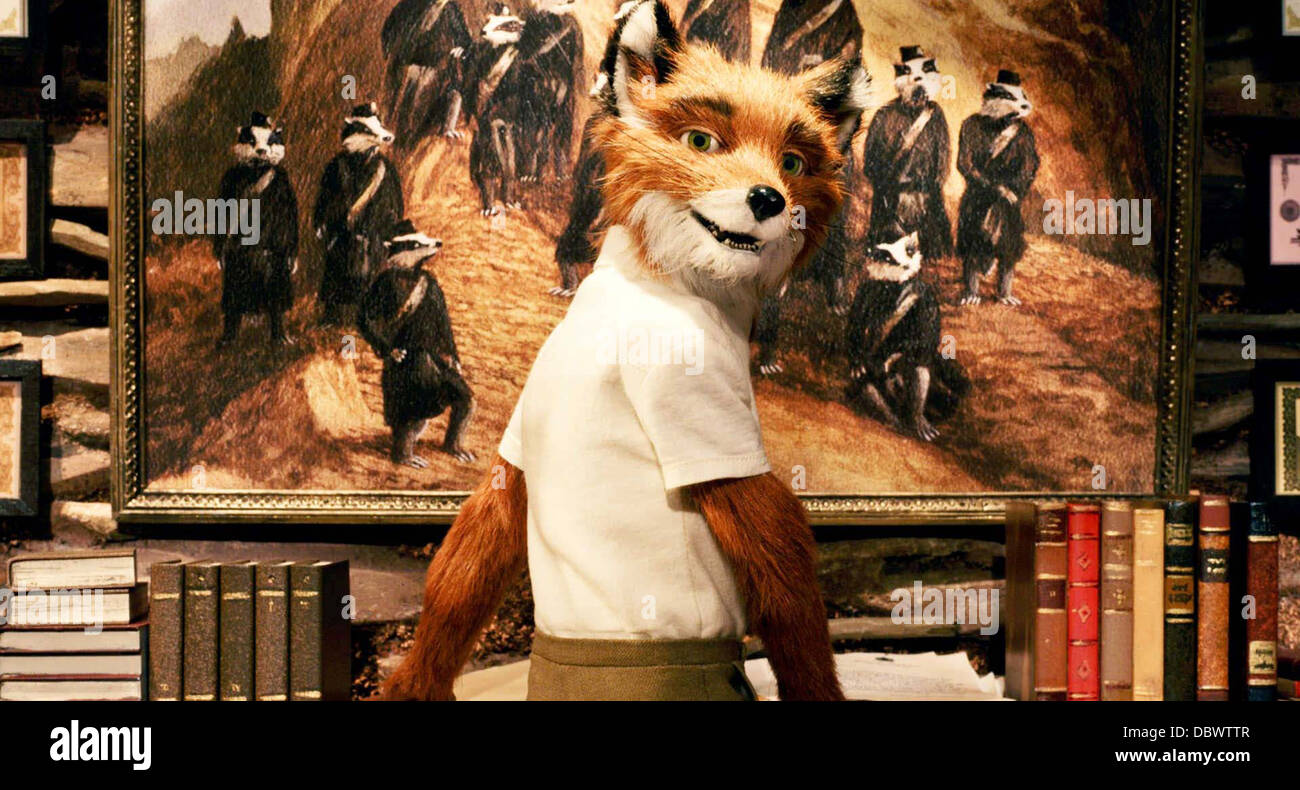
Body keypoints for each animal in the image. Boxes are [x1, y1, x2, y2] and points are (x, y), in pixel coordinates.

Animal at [380, 0, 869, 702]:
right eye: (701, 141)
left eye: (795, 163)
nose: (768, 198)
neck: (654, 281)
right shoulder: (706, 416)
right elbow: (789, 593)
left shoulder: (514, 448)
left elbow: (463, 565)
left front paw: (417, 680)